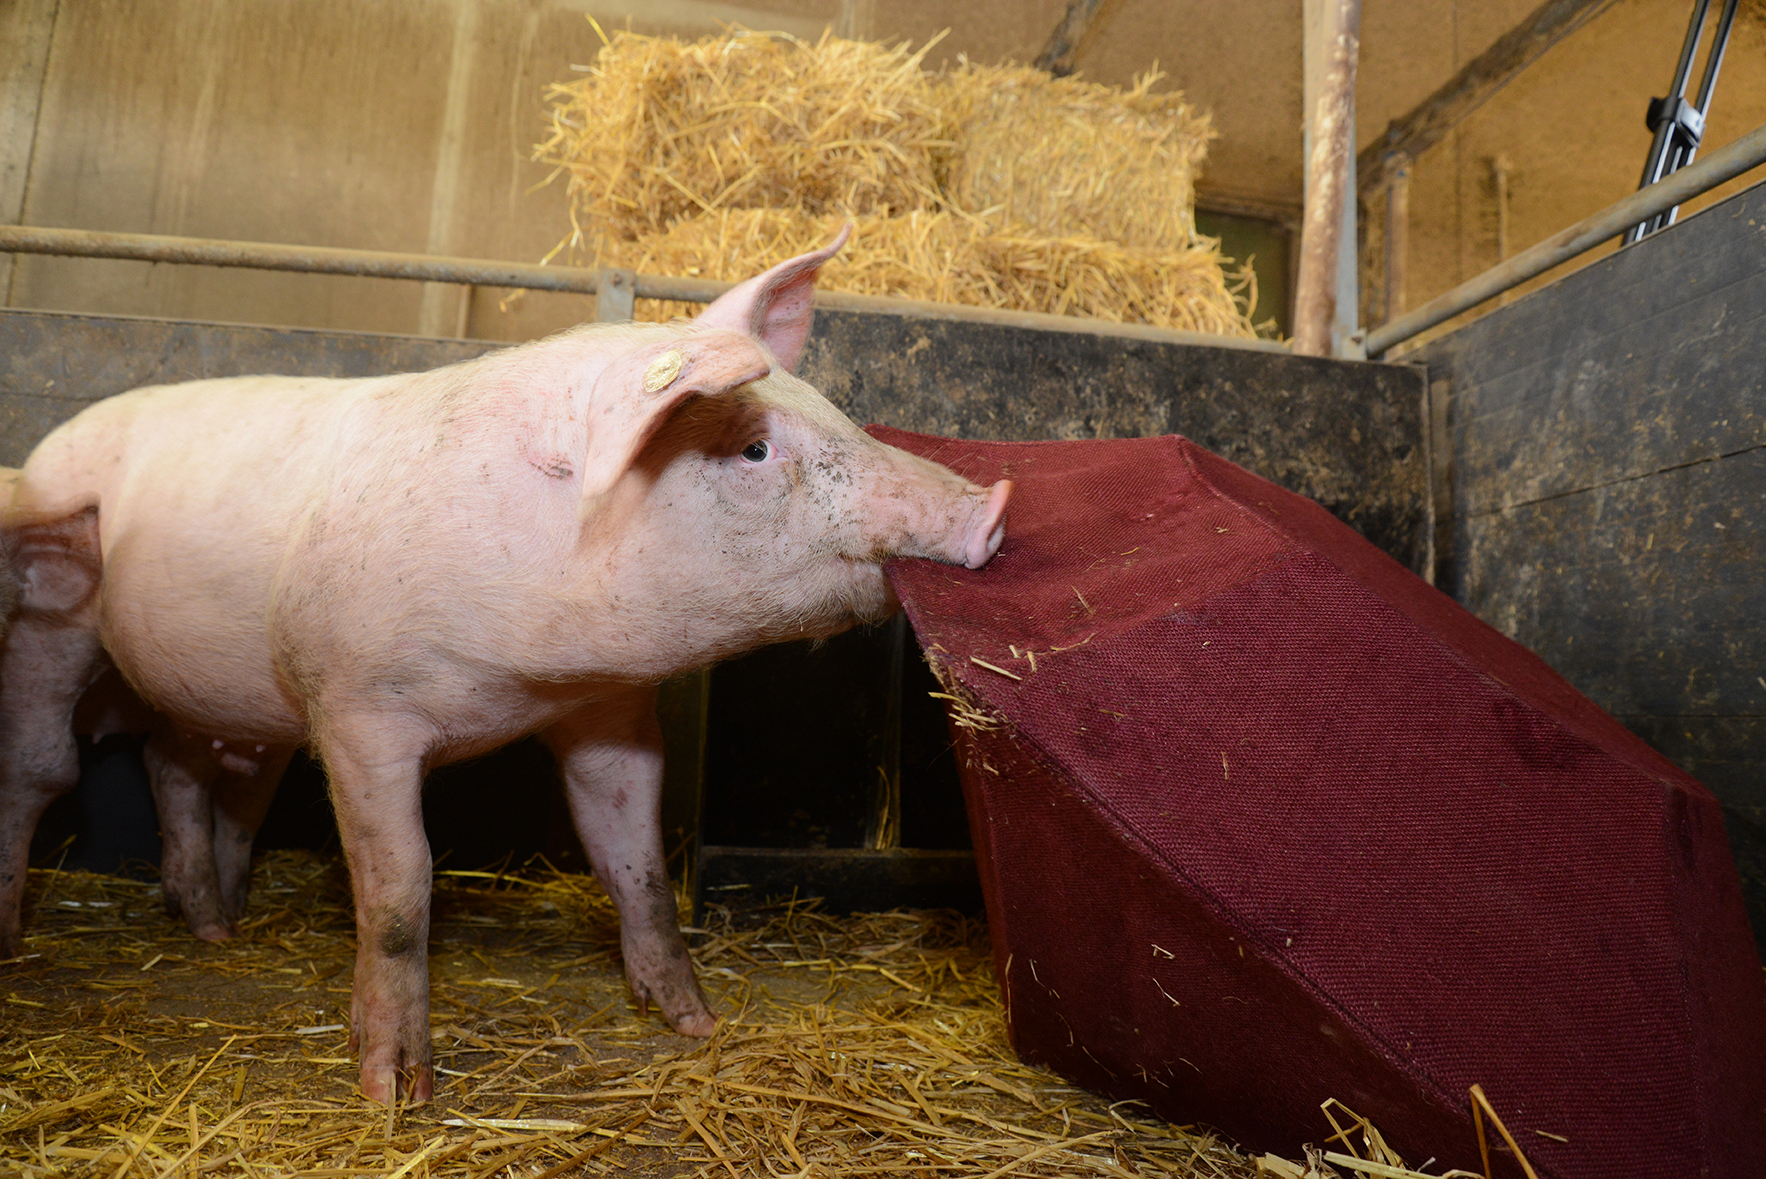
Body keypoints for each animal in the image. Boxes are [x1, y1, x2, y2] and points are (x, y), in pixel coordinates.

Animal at [0, 228, 1011, 1103]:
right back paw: (22, 936)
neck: (515, 682)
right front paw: (395, 1092)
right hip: (59, 618)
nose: (994, 504)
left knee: (185, 767)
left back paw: (215, 926)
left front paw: (695, 1023)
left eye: (836, 414)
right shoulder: (357, 710)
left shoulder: (609, 713)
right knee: (44, 766)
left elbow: (635, 863)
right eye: (756, 447)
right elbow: (399, 890)